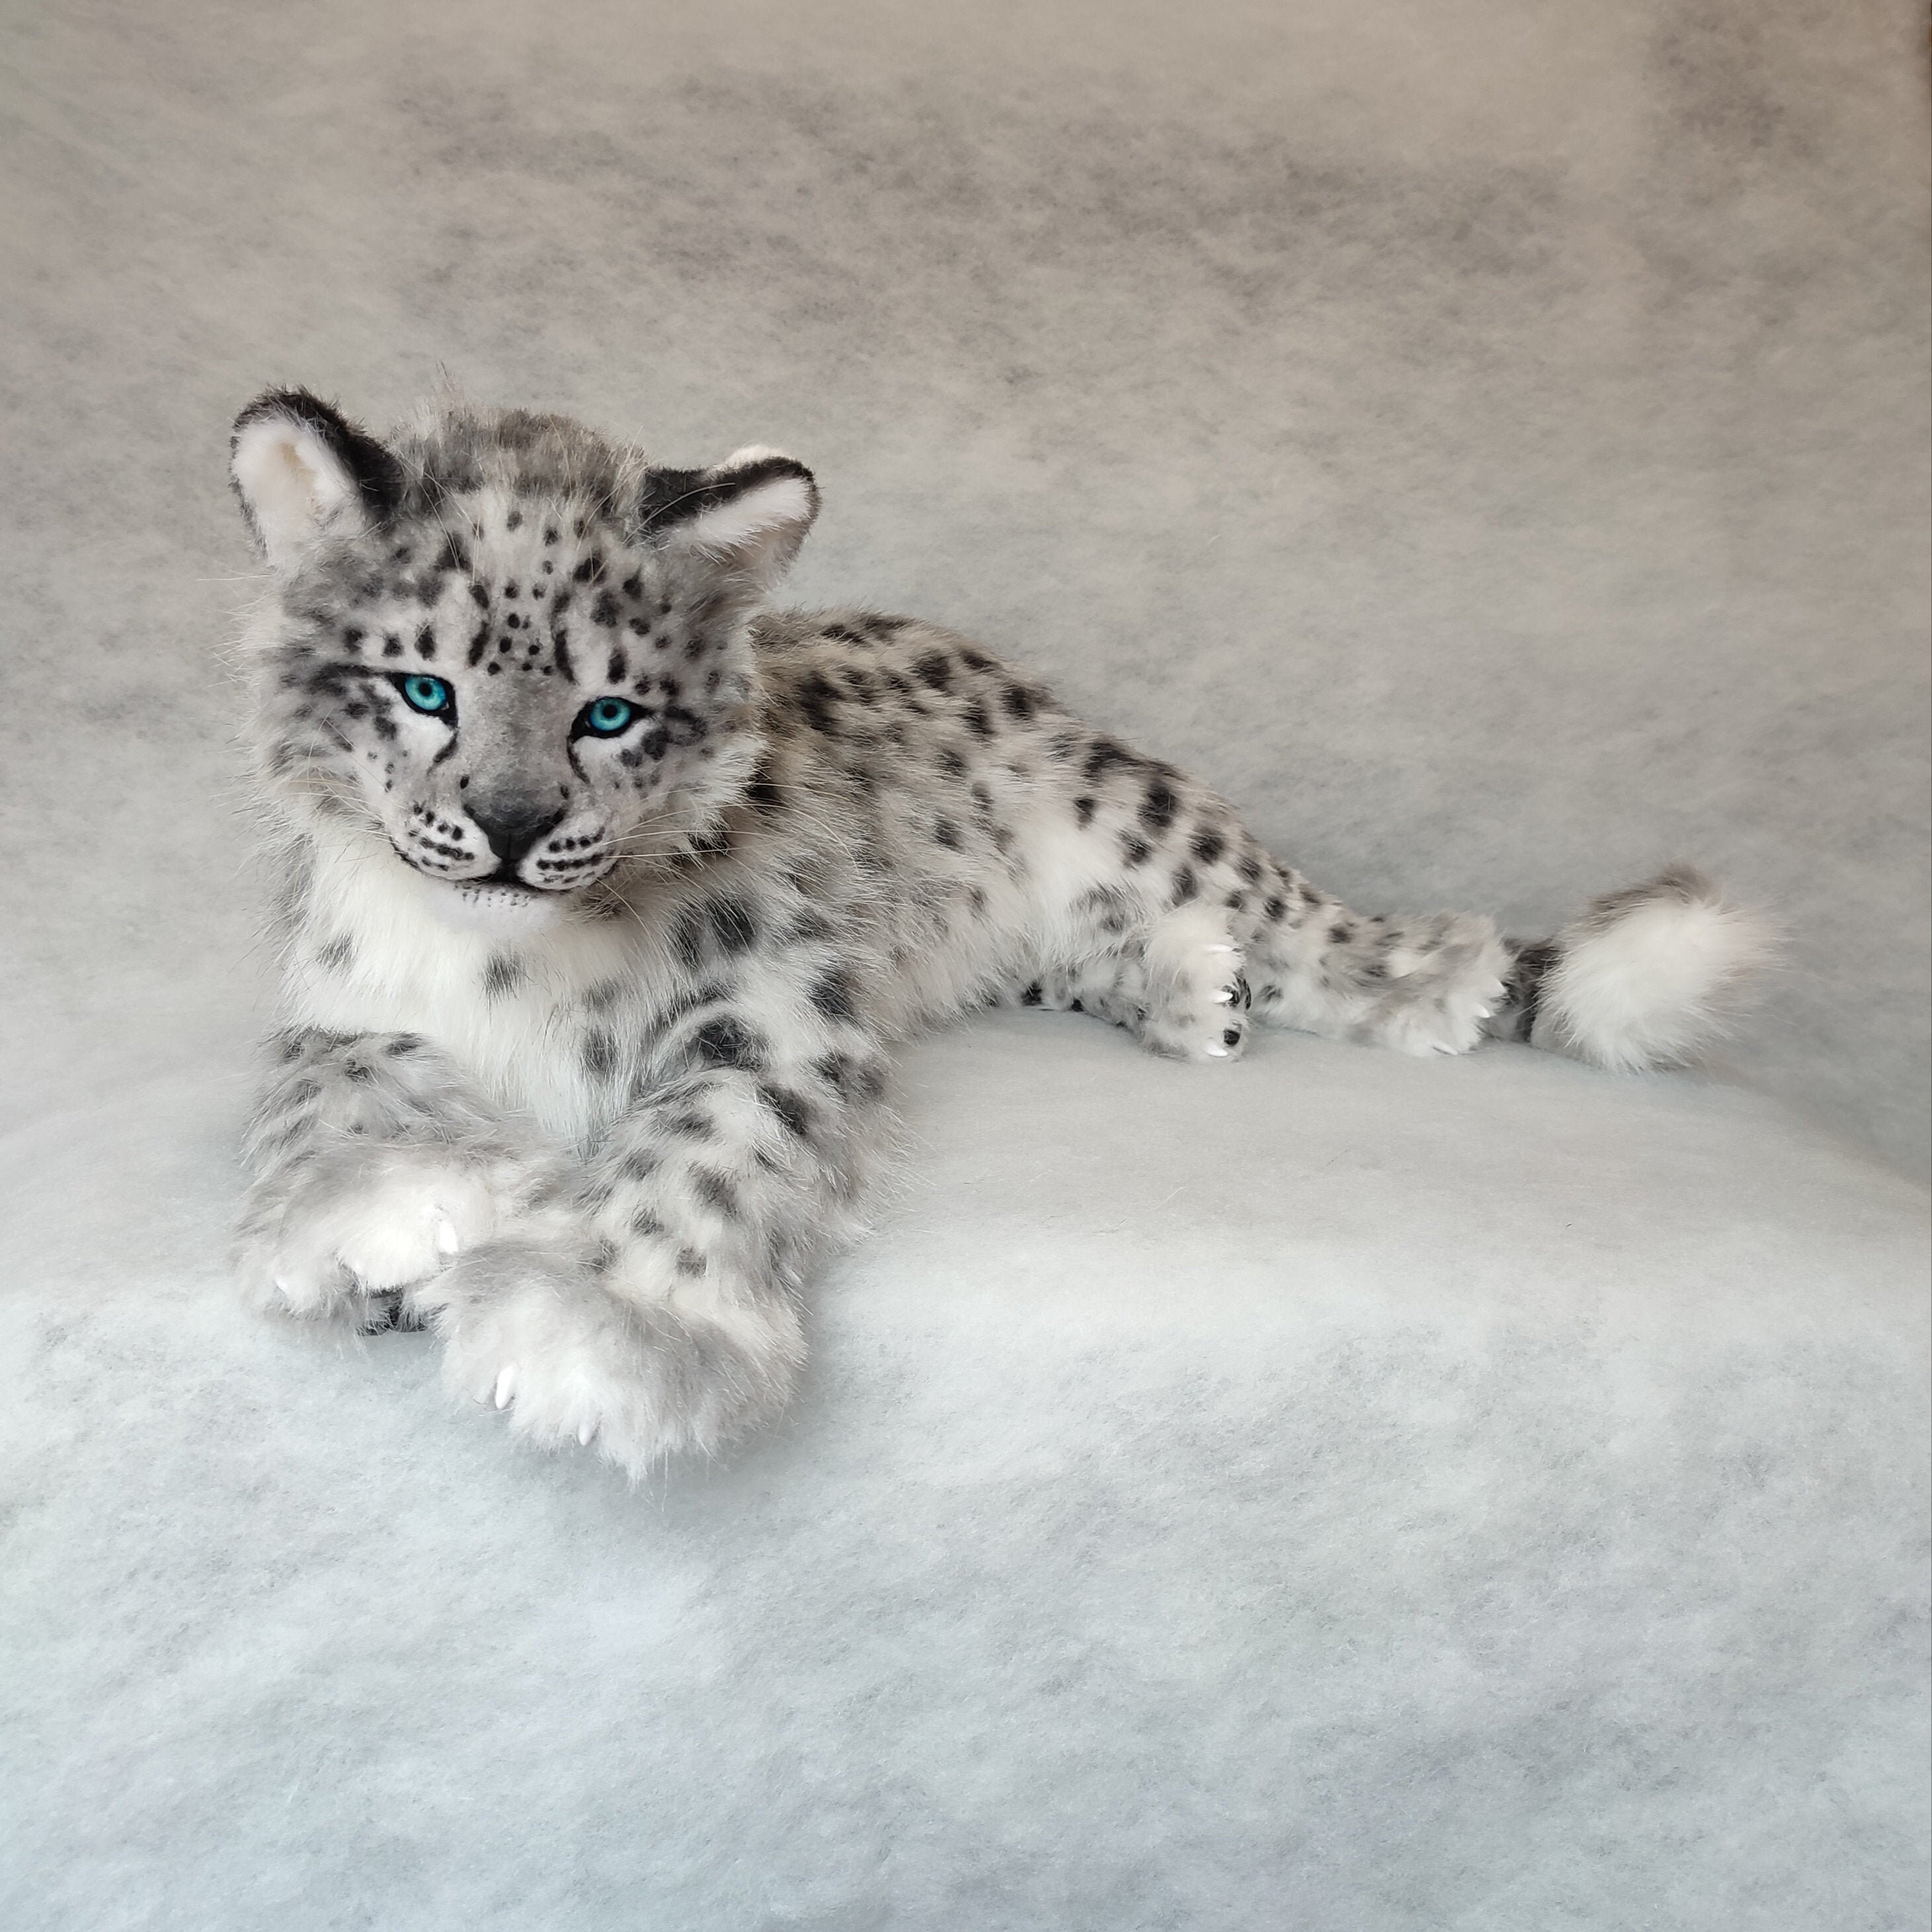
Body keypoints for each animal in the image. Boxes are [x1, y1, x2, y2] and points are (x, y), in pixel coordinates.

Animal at [228, 388, 1771, 1478]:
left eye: (611, 713)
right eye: (424, 687)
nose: (504, 826)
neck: (505, 952)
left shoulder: (775, 1002)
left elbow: (707, 1139)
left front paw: (605, 1329)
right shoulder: (337, 994)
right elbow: (320, 1077)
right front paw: (384, 1212)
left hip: (1147, 815)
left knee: (1315, 925)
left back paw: (1400, 982)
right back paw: (1191, 993)